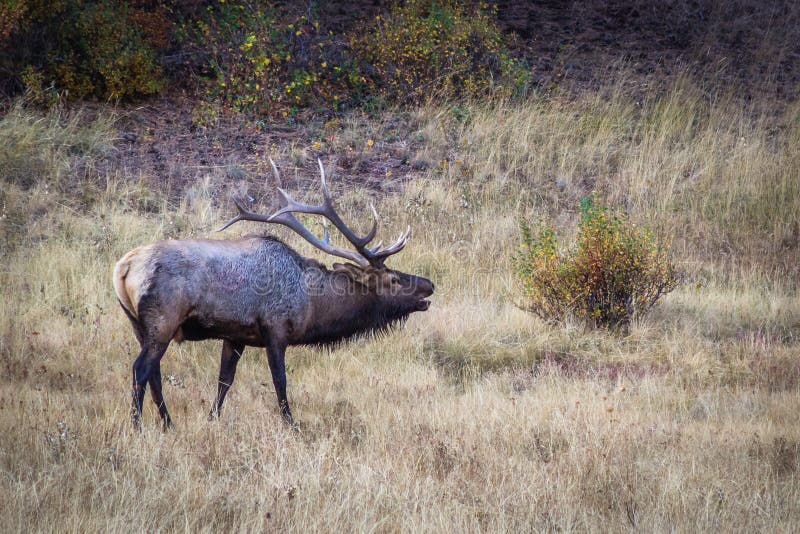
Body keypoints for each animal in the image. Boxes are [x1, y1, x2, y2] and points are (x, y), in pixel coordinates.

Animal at [113, 159, 434, 429]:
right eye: (394, 279)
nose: (429, 284)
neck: (311, 306)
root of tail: (123, 268)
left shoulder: (236, 335)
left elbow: (224, 381)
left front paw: (212, 419)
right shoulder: (275, 328)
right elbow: (280, 381)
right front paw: (292, 425)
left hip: (137, 324)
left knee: (153, 373)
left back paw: (168, 423)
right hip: (163, 320)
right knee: (141, 369)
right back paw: (137, 426)